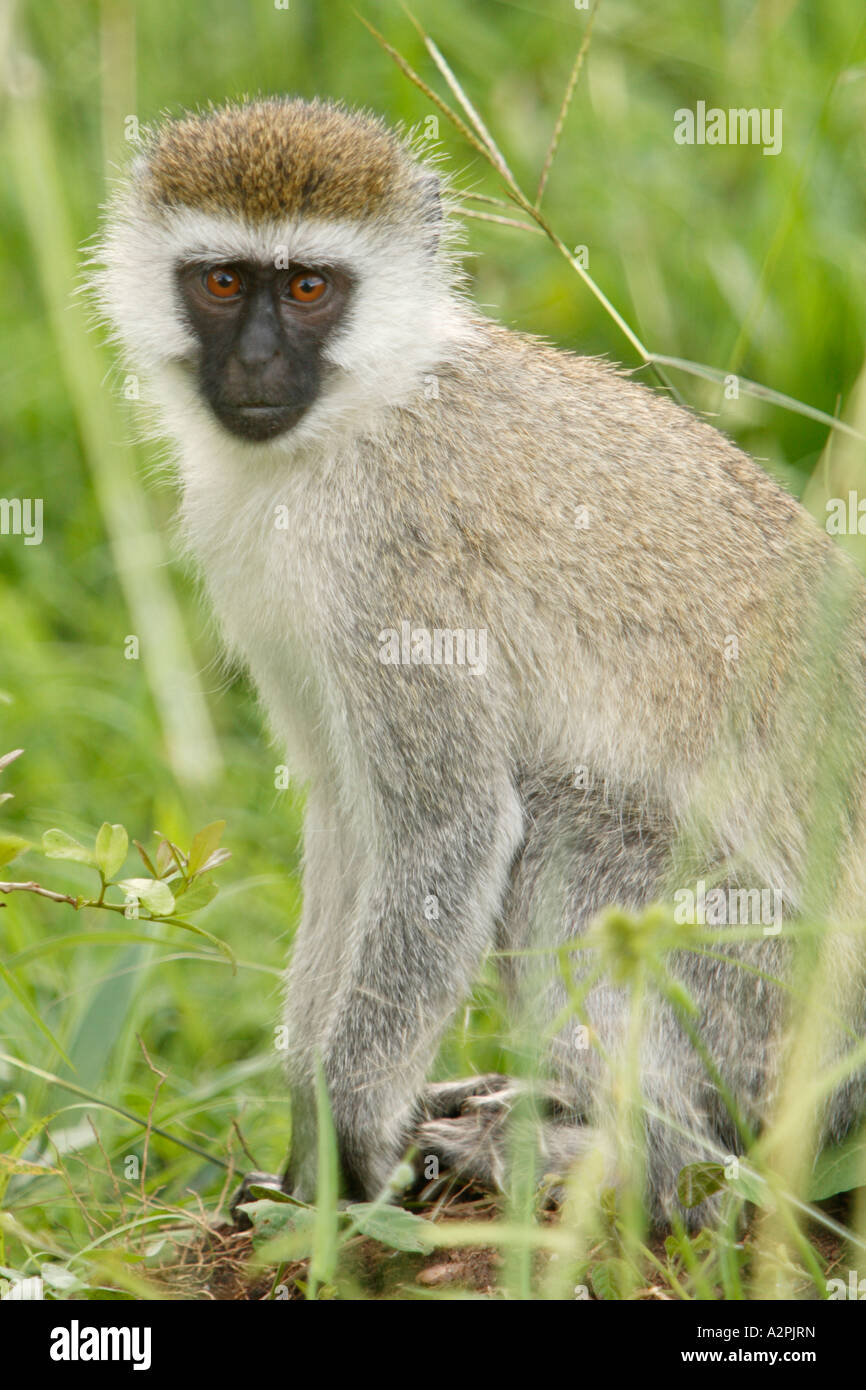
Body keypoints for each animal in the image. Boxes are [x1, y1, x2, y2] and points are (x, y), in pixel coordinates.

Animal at [92, 97, 866, 1226]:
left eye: (310, 287)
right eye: (224, 281)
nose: (257, 368)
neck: (359, 415)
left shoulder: (398, 562)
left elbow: (445, 829)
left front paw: (348, 1136)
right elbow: (347, 815)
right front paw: (305, 1142)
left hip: (770, 1012)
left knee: (563, 830)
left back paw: (636, 1167)